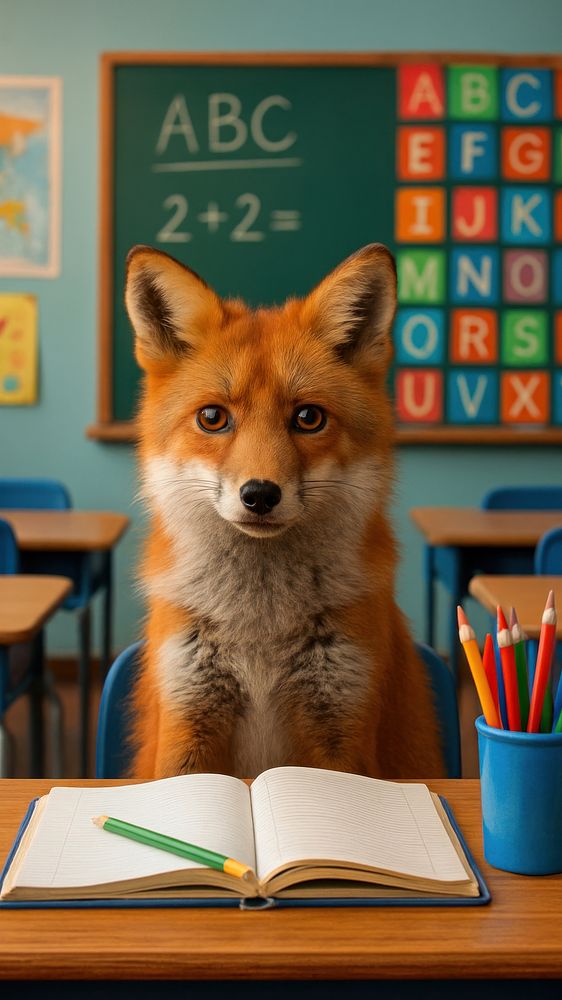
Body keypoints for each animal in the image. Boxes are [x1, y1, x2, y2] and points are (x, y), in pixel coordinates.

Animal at [124, 242, 445, 779]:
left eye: (308, 417)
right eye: (213, 418)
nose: (259, 495)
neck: (260, 629)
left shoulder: (341, 720)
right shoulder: (187, 716)